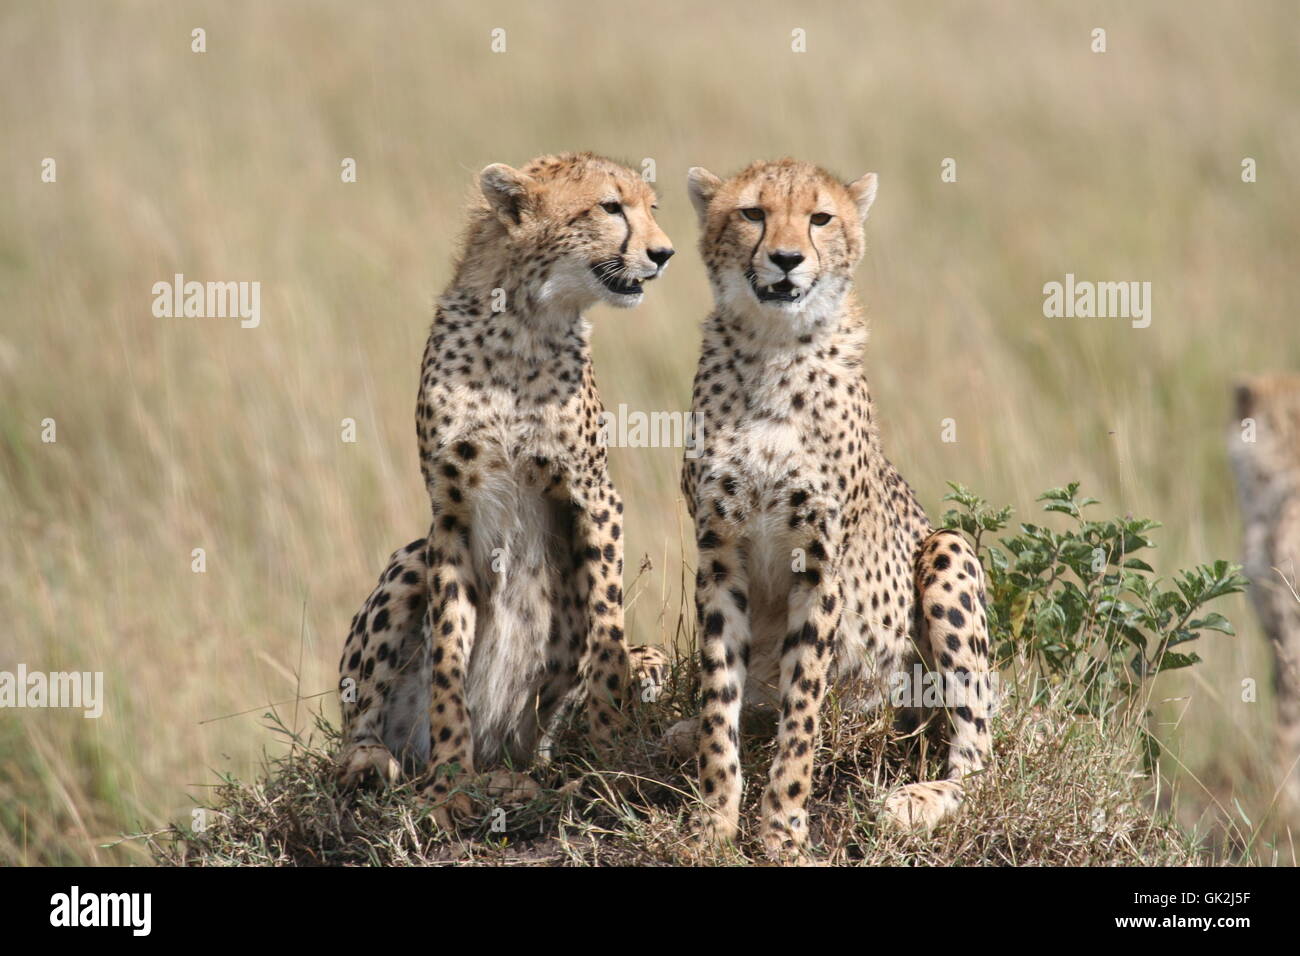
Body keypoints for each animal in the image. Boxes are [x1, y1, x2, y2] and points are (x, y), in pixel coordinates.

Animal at [335, 151, 676, 822]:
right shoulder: (450, 514)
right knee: (357, 723)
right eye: (610, 207)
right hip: (411, 559)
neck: (525, 321)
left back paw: (522, 781)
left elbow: (606, 632)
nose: (664, 253)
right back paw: (375, 763)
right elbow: (448, 658)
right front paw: (447, 784)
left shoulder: (594, 497)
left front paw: (609, 758)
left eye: (651, 208)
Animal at [676, 157, 987, 858]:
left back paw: (919, 801)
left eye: (820, 218)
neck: (771, 350)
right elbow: (719, 700)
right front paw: (714, 823)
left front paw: (783, 831)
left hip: (947, 551)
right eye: (753, 213)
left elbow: (801, 714)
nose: (788, 259)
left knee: (979, 751)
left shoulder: (819, 564)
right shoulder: (719, 556)